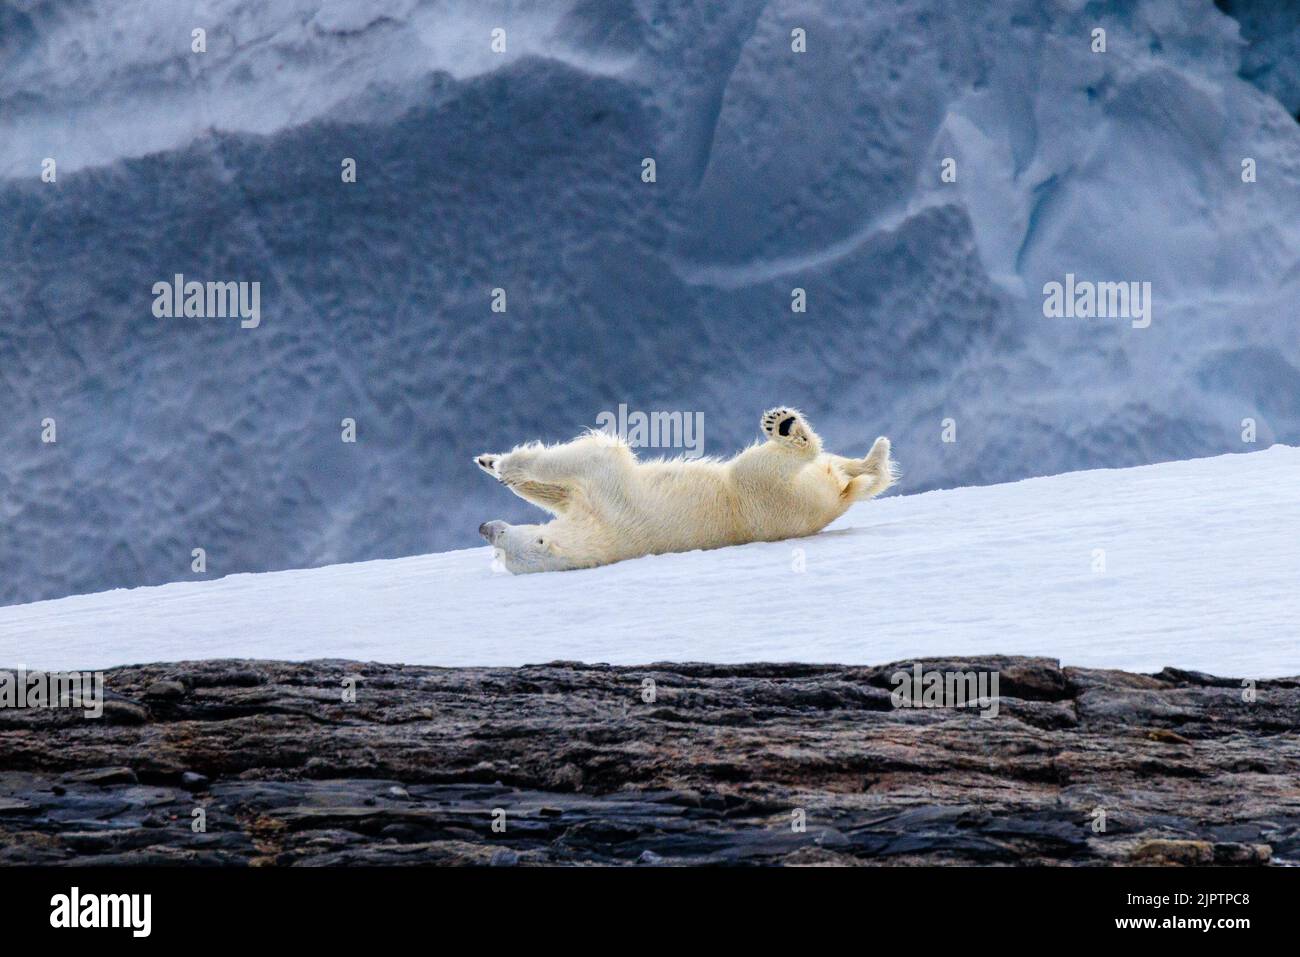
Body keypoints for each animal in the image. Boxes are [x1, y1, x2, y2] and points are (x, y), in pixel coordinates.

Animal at [474, 407, 897, 573]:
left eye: (501, 541)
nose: (484, 527)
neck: (601, 539)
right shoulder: (608, 504)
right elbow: (590, 462)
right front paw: (506, 464)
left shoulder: (603, 505)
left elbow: (565, 483)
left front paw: (493, 464)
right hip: (760, 495)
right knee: (776, 465)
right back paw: (788, 427)